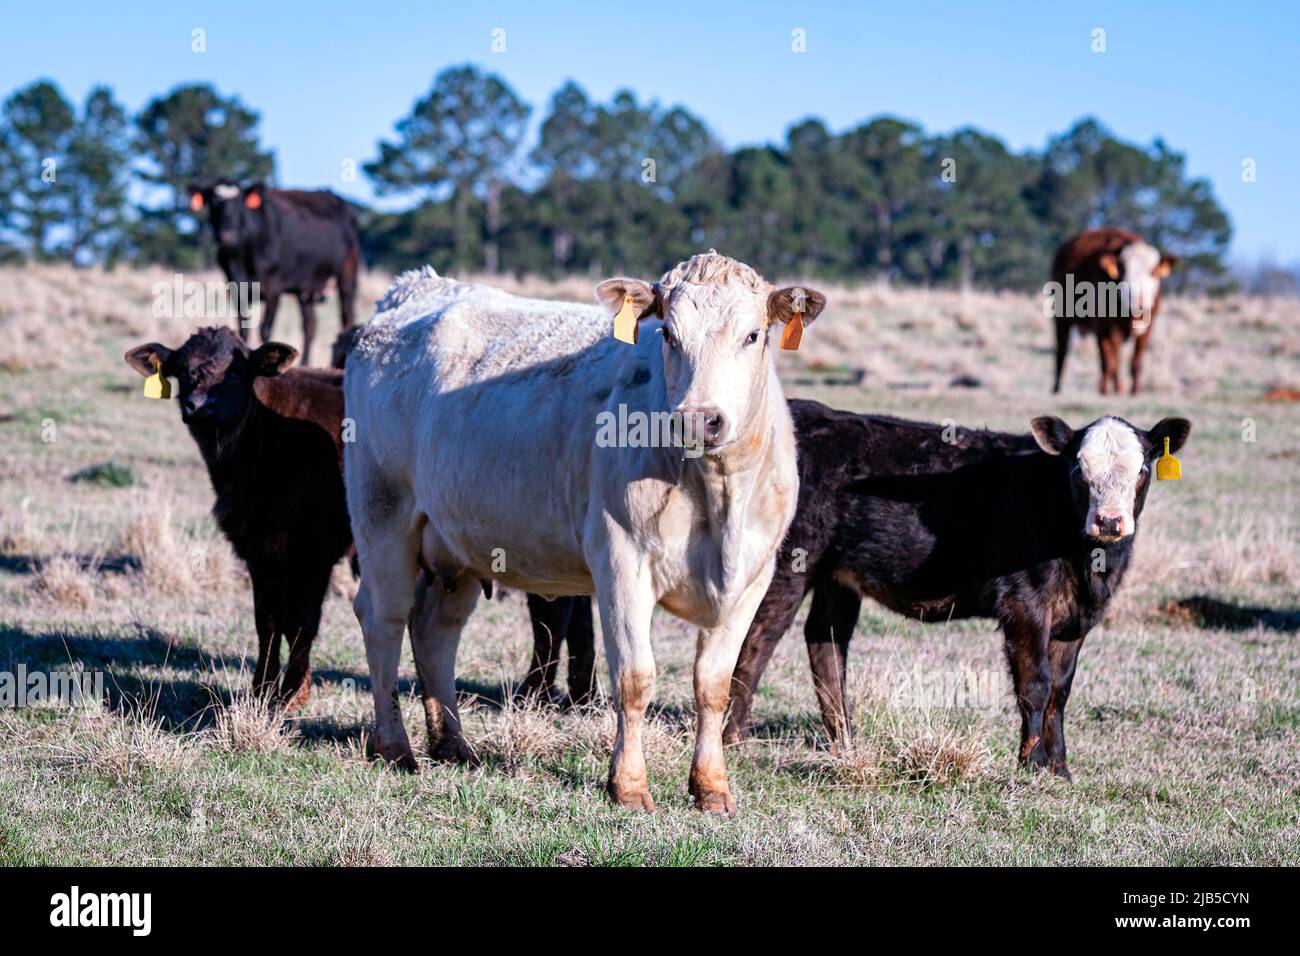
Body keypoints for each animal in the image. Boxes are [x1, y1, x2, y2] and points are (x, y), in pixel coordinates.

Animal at [125, 327, 354, 709]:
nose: (199, 405)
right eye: (182, 370)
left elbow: (302, 622)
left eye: (234, 372)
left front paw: (293, 693)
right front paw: (262, 689)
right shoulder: (258, 548)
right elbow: (268, 620)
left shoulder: (314, 553)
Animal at [188, 180, 361, 366]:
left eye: (239, 204)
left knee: (346, 316)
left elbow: (265, 329)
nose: (227, 236)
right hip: (306, 288)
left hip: (347, 274)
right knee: (310, 325)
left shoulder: (274, 290)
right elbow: (243, 329)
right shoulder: (236, 288)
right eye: (213, 203)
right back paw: (304, 363)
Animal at [344, 252, 825, 813]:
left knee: (435, 628)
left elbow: (714, 686)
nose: (697, 420)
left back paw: (453, 745)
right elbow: (635, 678)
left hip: (456, 539)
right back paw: (395, 747)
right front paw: (629, 785)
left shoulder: (753, 576)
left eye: (753, 335)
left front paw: (711, 787)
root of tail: (414, 289)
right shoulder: (621, 558)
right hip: (383, 514)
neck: (716, 495)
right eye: (668, 335)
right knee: (384, 619)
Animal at [723, 401, 1190, 780]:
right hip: (787, 563)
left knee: (825, 641)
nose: (1109, 521)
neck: (1087, 566)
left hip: (837, 575)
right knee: (757, 639)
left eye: (1142, 471)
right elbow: (1035, 685)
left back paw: (846, 740)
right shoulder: (1024, 604)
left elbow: (1061, 689)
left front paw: (1059, 769)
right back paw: (733, 739)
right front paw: (1031, 765)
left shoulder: (1075, 619)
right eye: (1079, 470)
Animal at [1050, 227, 1178, 395]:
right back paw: (1057, 389)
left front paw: (1135, 392)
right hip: (1062, 318)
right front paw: (1104, 391)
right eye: (1123, 270)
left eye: (1153, 272)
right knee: (1062, 352)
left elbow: (1136, 362)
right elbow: (1107, 362)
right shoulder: (1102, 327)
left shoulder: (1148, 327)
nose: (1136, 298)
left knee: (1117, 356)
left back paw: (1119, 388)